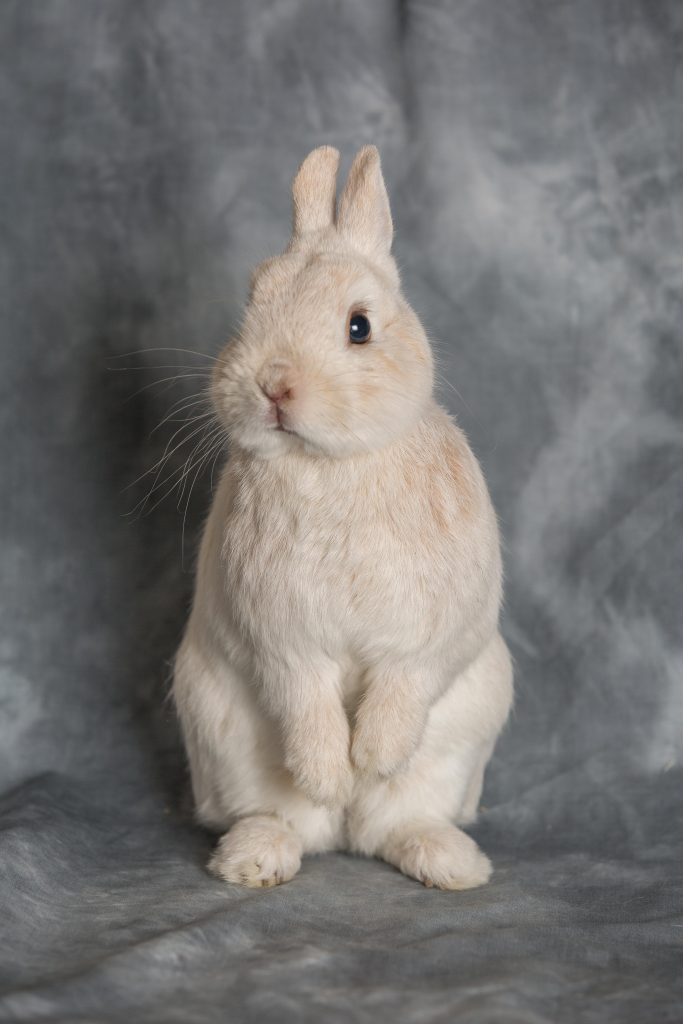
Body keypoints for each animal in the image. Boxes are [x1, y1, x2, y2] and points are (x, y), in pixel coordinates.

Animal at [172, 145, 513, 890]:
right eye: (252, 301)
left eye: (359, 327)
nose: (274, 383)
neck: (331, 463)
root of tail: (346, 836)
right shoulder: (282, 640)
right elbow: (306, 702)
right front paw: (332, 774)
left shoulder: (420, 640)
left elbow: (401, 687)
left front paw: (371, 760)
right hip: (223, 737)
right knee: (289, 818)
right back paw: (261, 855)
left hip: (455, 750)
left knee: (394, 819)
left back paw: (447, 862)